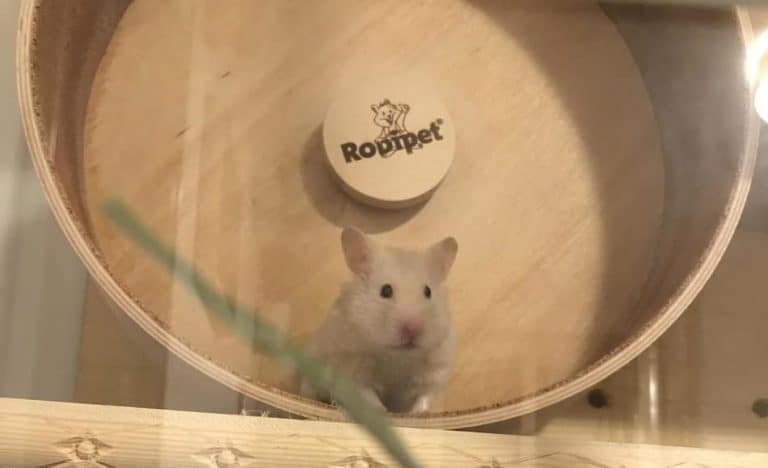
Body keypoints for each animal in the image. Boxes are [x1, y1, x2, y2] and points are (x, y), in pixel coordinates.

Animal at [300, 227, 458, 413]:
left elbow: (425, 396)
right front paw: (383, 412)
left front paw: (418, 414)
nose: (413, 328)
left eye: (428, 291)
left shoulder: (435, 369)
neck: (398, 357)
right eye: (386, 290)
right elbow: (367, 395)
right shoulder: (352, 368)